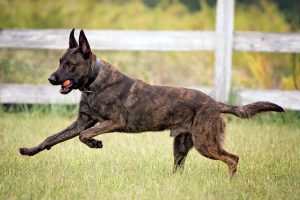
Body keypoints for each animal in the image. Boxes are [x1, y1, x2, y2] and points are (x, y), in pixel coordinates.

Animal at [19, 28, 284, 177]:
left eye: (70, 65)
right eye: (59, 61)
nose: (51, 79)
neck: (94, 82)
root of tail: (215, 103)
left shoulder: (112, 122)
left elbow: (85, 136)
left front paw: (95, 143)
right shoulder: (82, 121)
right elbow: (51, 138)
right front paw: (30, 150)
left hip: (205, 144)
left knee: (233, 159)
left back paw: (230, 182)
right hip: (181, 146)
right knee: (180, 169)